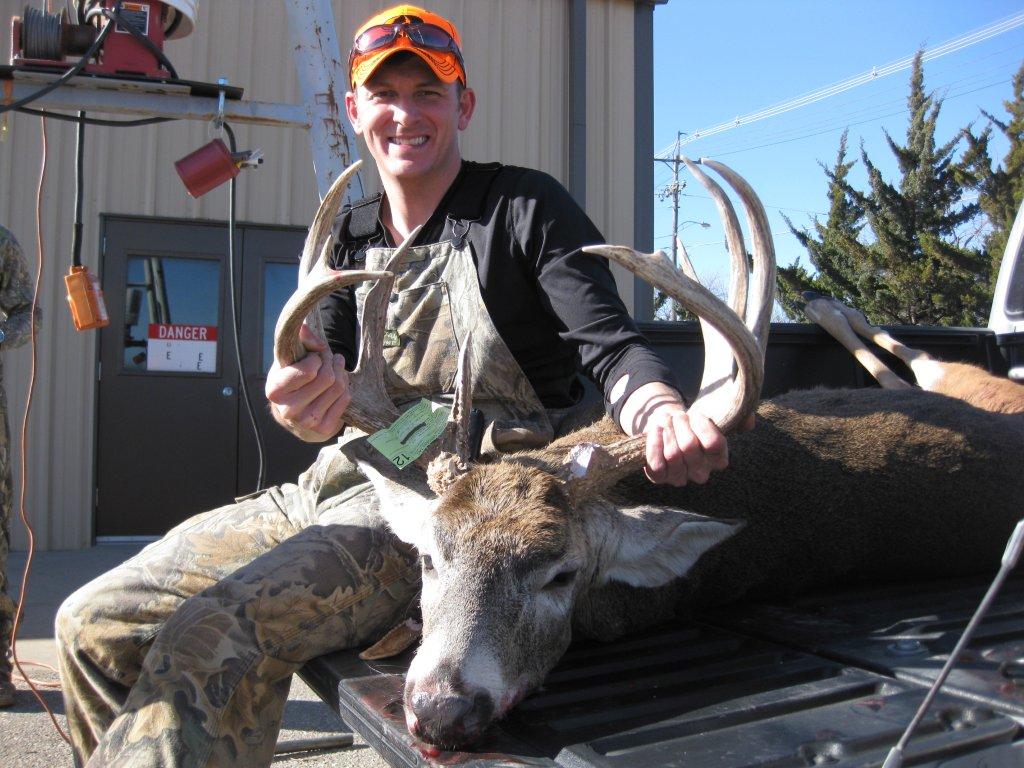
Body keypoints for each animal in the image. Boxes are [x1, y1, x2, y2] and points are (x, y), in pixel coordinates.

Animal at [274, 159, 1024, 750]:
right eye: (428, 559)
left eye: (562, 575)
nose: (440, 711)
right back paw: (828, 304)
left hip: (968, 389)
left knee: (916, 359)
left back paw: (830, 303)